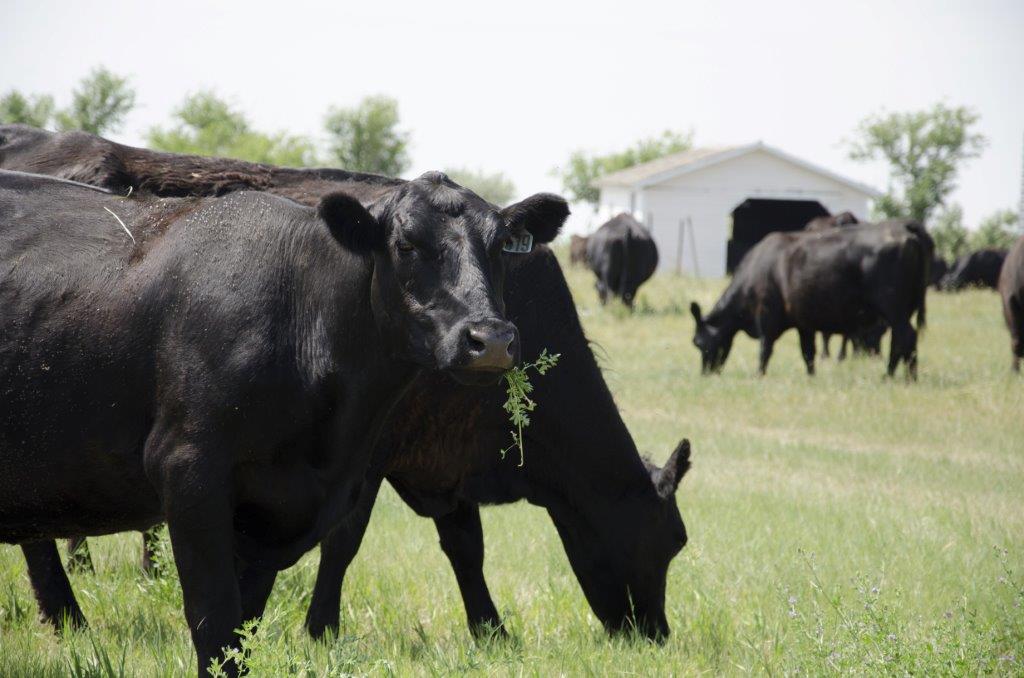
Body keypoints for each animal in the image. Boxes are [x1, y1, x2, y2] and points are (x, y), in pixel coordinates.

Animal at [0, 126, 693, 647]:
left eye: (502, 248)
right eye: (670, 541)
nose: (653, 636)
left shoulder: (432, 457)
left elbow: (464, 545)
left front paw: (490, 630)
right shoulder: (376, 450)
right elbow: (347, 544)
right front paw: (321, 629)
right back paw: (66, 616)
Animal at [690, 221, 931, 378]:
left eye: (699, 343)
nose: (705, 374)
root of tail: (905, 231)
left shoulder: (766, 317)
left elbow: (765, 350)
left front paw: (759, 375)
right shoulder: (803, 324)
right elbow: (808, 352)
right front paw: (811, 376)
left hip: (894, 309)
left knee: (906, 337)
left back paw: (901, 377)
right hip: (903, 310)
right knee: (899, 340)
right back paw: (894, 374)